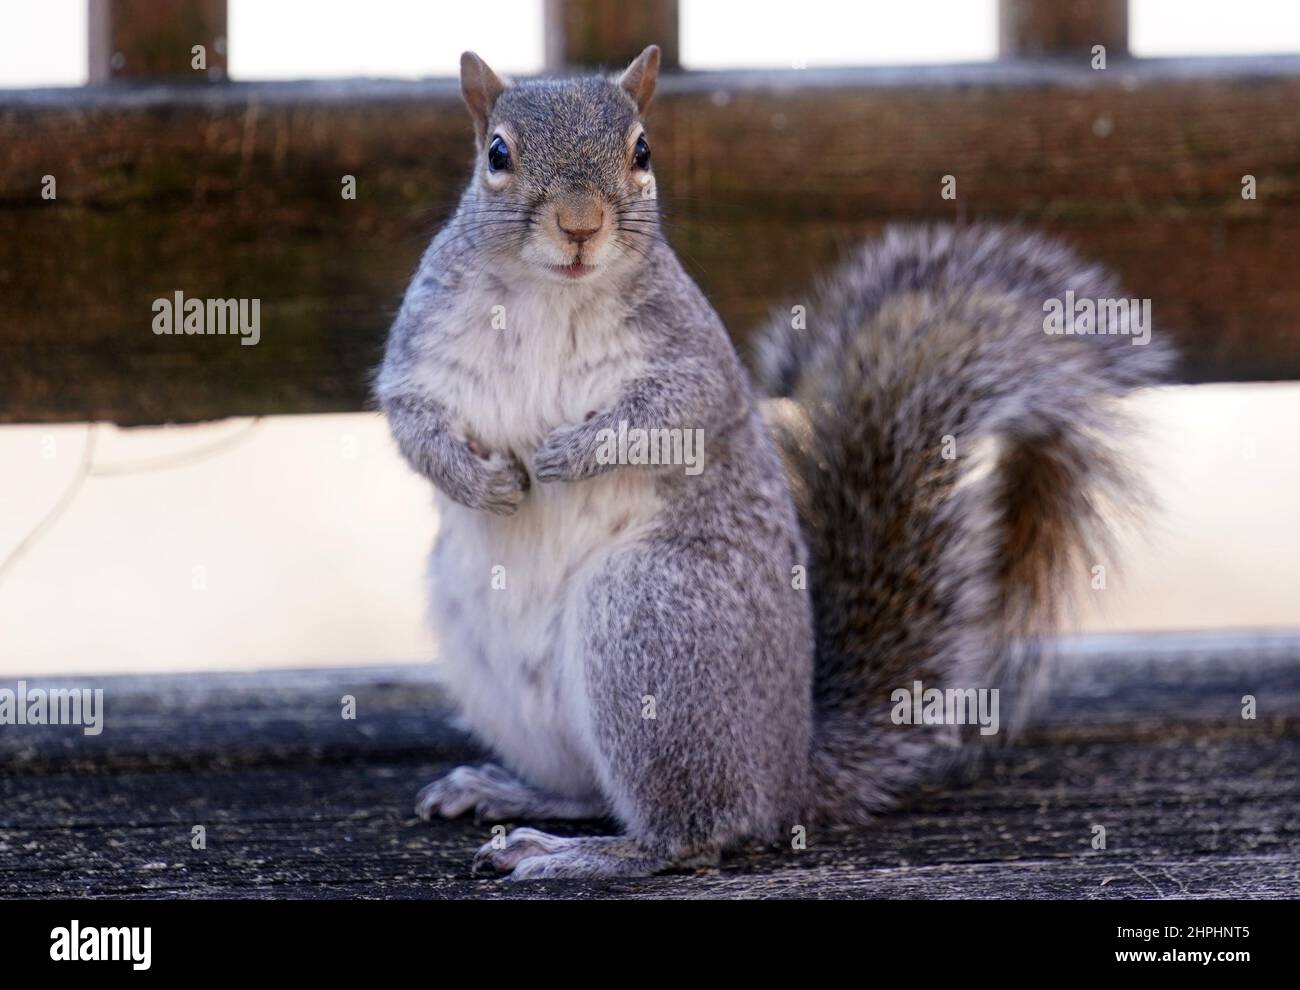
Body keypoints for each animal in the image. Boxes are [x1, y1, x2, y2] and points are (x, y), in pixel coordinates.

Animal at [376, 46, 1170, 880]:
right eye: (497, 155)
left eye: (642, 152)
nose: (580, 226)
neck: (548, 294)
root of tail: (788, 774)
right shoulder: (422, 349)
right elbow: (410, 418)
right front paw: (479, 479)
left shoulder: (696, 361)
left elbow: (666, 417)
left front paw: (569, 452)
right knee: (590, 788)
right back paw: (513, 795)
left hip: (648, 624)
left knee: (690, 835)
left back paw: (576, 854)